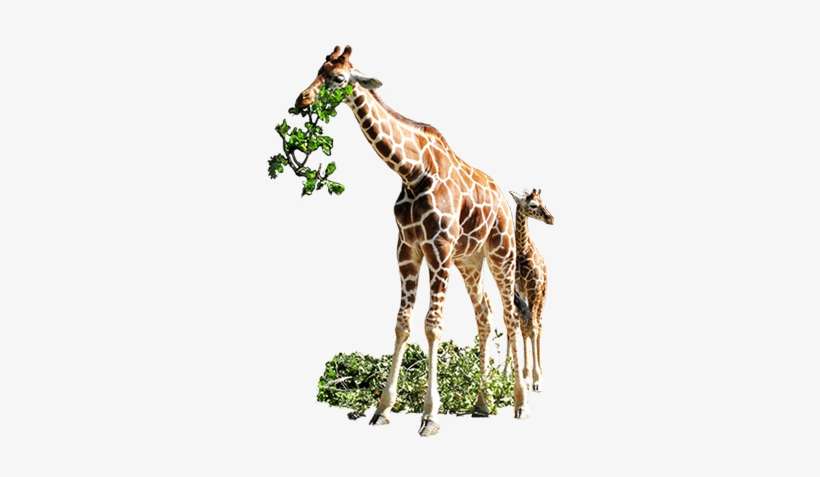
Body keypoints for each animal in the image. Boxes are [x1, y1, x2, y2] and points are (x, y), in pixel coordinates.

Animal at [295, 46, 529, 435]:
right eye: (318, 70)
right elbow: (402, 323)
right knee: (484, 314)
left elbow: (432, 325)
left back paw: (519, 402)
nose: (302, 99)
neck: (411, 170)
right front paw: (382, 409)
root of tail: (503, 199)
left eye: (339, 79)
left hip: (501, 253)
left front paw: (430, 415)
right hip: (469, 260)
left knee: (510, 316)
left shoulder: (439, 248)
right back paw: (482, 403)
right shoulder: (407, 248)